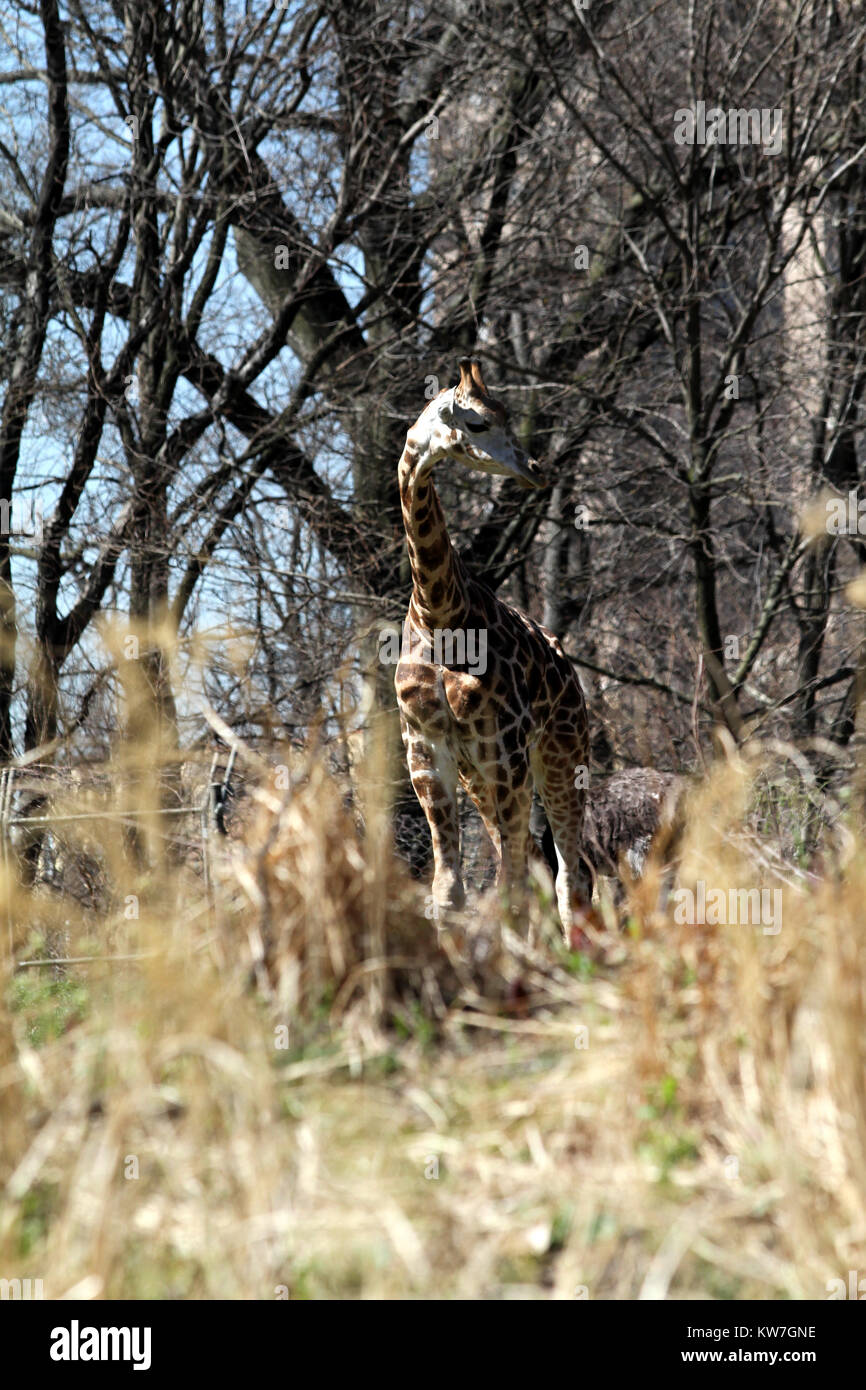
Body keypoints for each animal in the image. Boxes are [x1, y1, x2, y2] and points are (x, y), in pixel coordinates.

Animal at [395, 357, 591, 940]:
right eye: (478, 422)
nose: (537, 467)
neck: (438, 615)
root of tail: (569, 669)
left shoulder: (505, 749)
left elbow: (508, 891)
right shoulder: (425, 750)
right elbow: (449, 890)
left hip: (559, 755)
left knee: (569, 874)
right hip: (480, 774)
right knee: (535, 864)